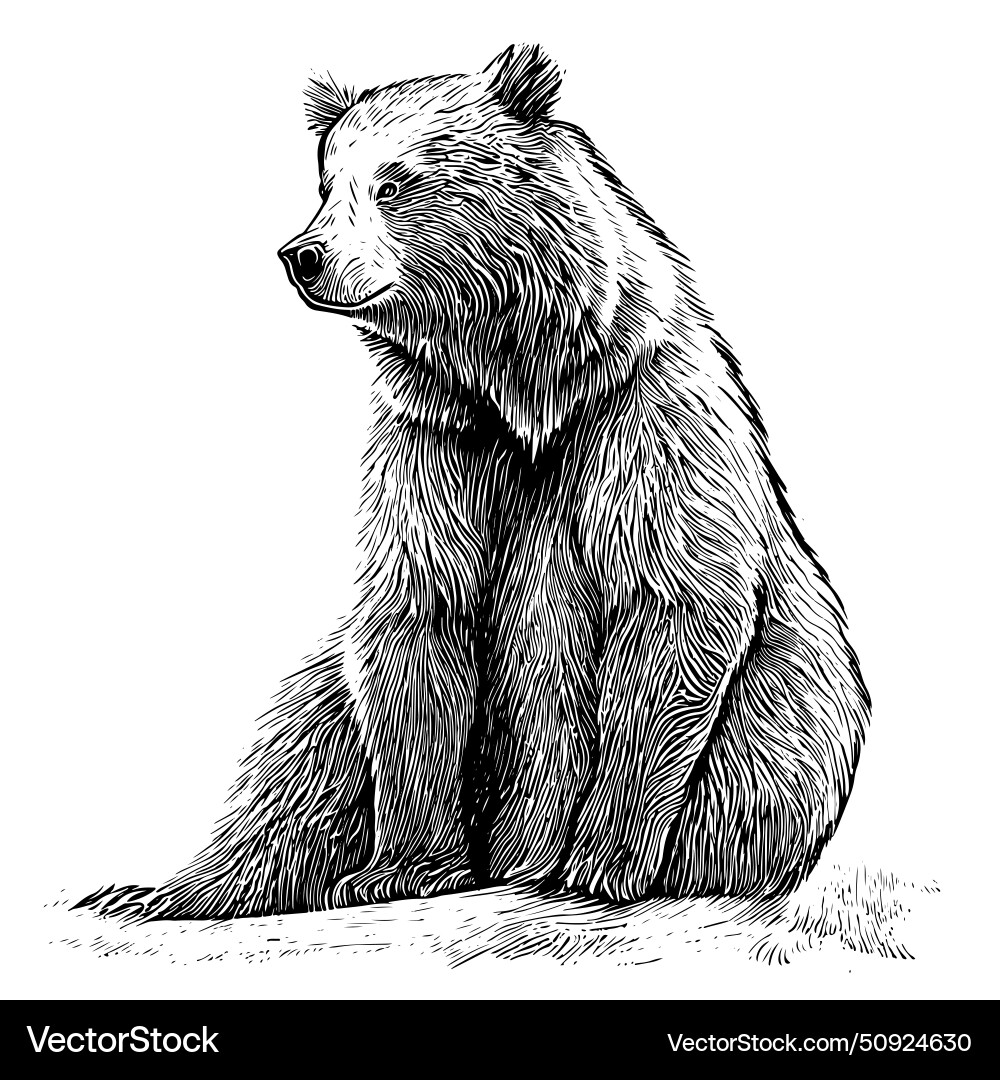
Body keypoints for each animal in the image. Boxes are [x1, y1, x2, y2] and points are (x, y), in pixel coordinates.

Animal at [79, 44, 870, 921]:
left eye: (393, 182)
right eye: (327, 185)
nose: (302, 256)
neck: (517, 389)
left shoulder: (641, 417)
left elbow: (671, 610)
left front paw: (603, 859)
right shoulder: (433, 440)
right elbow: (416, 623)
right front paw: (404, 867)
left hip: (790, 717)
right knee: (301, 749)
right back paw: (163, 890)